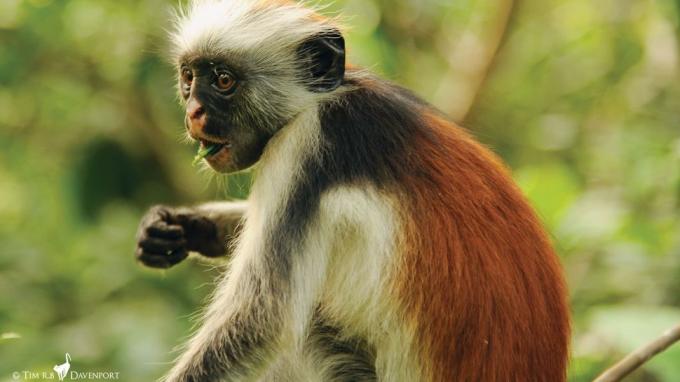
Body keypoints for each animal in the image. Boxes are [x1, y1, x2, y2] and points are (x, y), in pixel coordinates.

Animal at [133, 1, 568, 380]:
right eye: (189, 78)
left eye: (224, 81)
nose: (194, 113)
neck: (327, 97)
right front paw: (183, 226)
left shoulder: (308, 144)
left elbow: (262, 319)